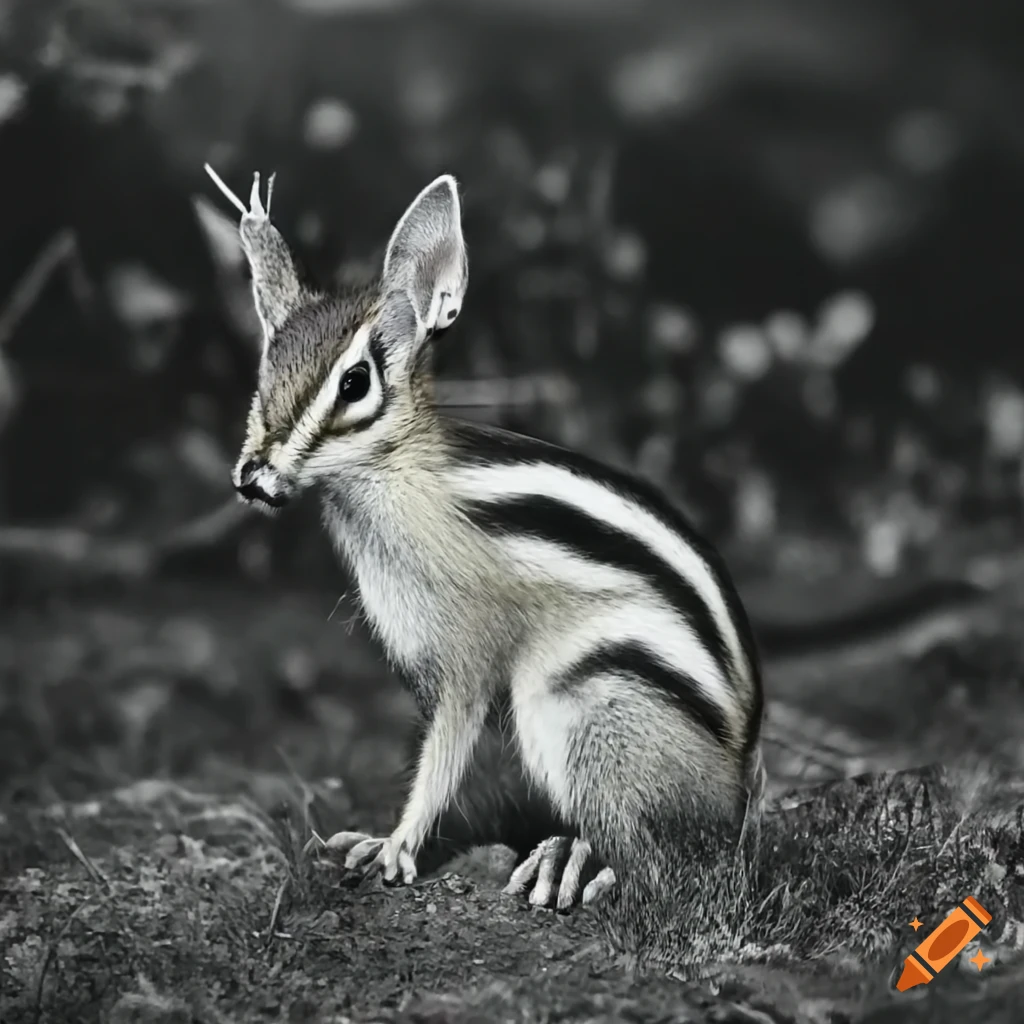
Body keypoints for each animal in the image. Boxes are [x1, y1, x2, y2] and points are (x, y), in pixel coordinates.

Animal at [204, 166, 989, 929]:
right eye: (264, 372)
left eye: (356, 382)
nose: (251, 477)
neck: (390, 481)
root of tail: (740, 786)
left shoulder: (466, 653)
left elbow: (445, 753)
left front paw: (396, 845)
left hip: (581, 708)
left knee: (672, 866)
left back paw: (581, 861)